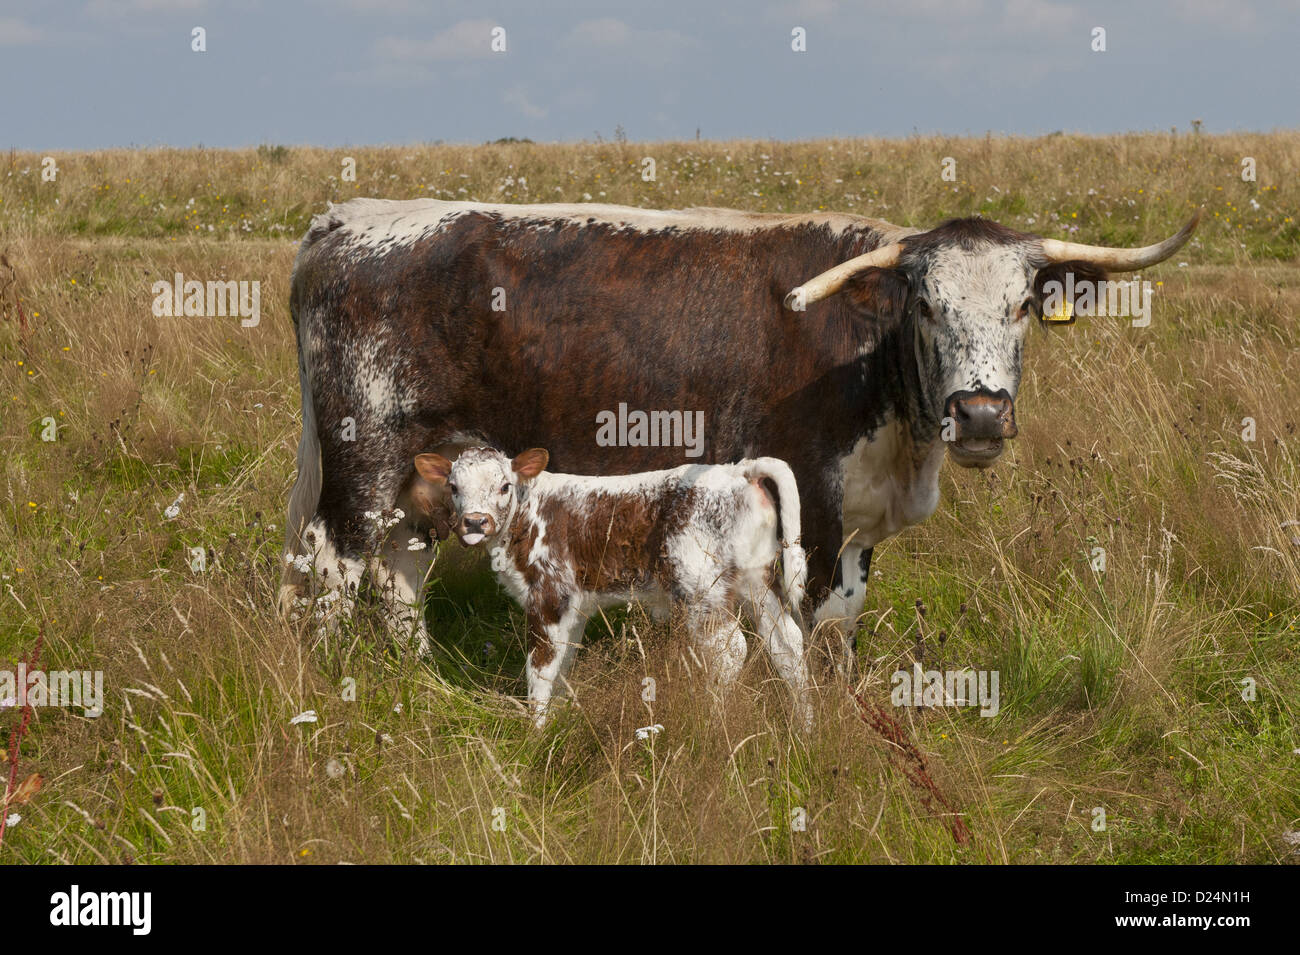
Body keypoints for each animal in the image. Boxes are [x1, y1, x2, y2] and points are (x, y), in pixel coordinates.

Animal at [278, 198, 1199, 673]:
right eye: (928, 304)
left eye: (1020, 306)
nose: (978, 413)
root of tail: (348, 219)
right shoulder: (810, 512)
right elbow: (803, 627)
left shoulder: (857, 525)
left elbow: (843, 623)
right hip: (359, 466)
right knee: (329, 573)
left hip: (421, 472)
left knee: (398, 571)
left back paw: (412, 680)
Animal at [410, 446, 810, 727]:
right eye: (453, 486)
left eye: (504, 485)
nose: (475, 522)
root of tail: (739, 470)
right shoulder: (574, 608)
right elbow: (563, 666)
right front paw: (555, 722)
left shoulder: (548, 597)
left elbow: (539, 667)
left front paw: (534, 732)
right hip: (757, 580)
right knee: (787, 644)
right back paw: (805, 729)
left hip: (700, 587)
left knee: (729, 651)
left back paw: (714, 723)